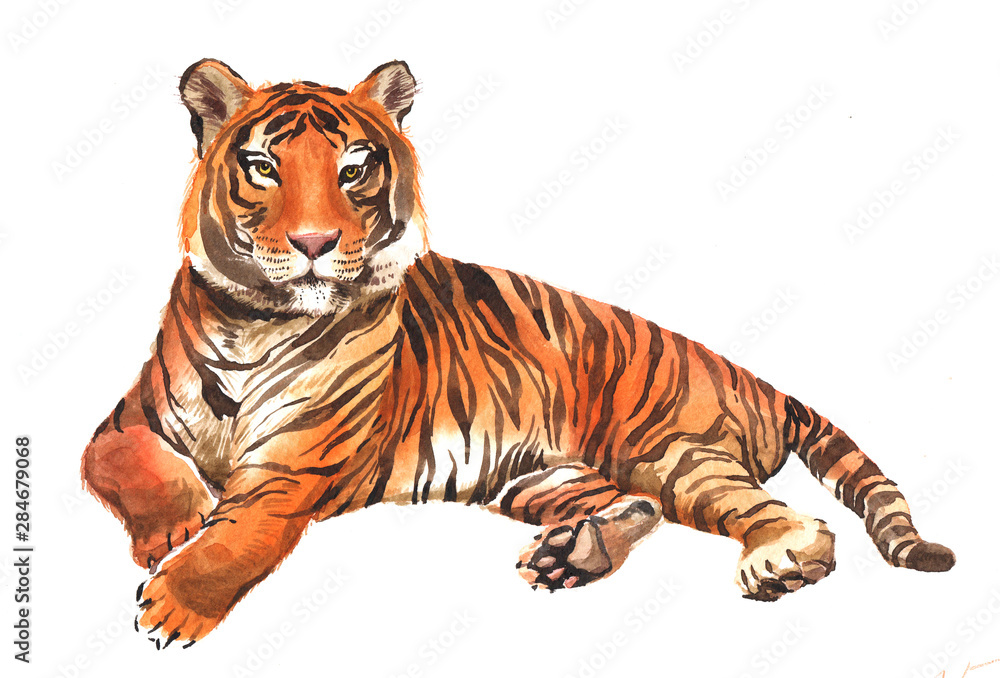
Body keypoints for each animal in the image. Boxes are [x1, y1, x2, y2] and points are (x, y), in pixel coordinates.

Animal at [81, 58, 956, 649]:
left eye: (355, 170)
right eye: (263, 167)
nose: (314, 243)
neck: (256, 323)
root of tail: (746, 374)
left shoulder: (294, 469)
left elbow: (237, 537)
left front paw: (174, 600)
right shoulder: (124, 421)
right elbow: (124, 464)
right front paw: (172, 523)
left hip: (669, 450)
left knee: (791, 520)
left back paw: (774, 564)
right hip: (543, 475)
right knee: (631, 509)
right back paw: (575, 556)